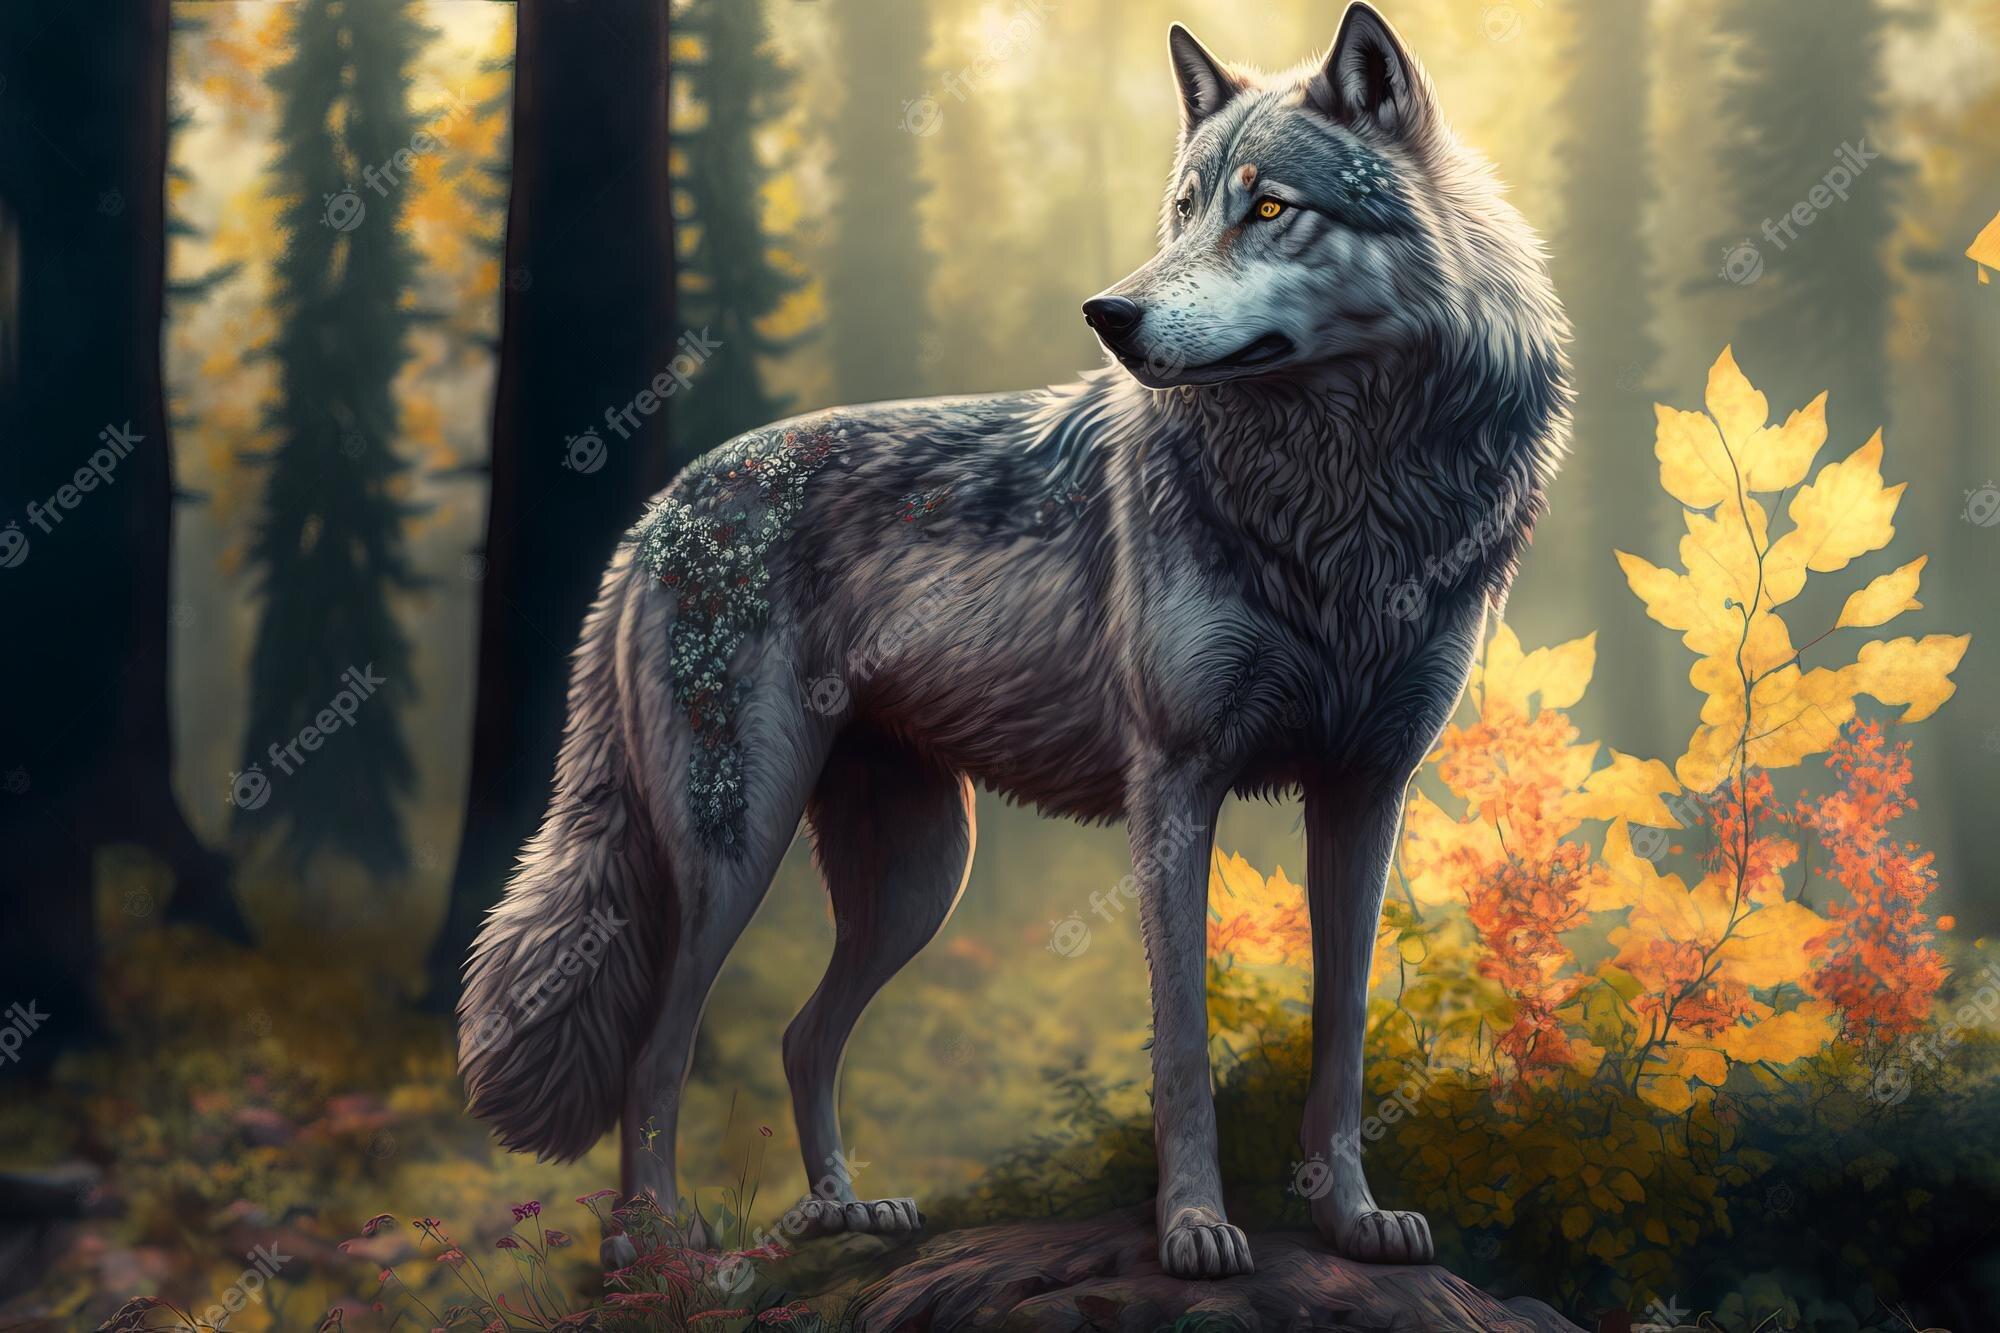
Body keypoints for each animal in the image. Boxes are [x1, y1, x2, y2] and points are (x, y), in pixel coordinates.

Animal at [459, 2, 1566, 1280]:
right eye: (1181, 207)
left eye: (1267, 209)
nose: (1109, 315)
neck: (1343, 496)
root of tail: (659, 509)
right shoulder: (1174, 783)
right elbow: (1179, 1044)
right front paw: (1194, 1229)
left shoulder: (1364, 789)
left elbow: (1339, 1033)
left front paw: (1348, 1219)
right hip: (737, 849)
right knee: (659, 1048)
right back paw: (660, 1250)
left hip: (916, 878)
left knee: (798, 1036)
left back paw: (842, 1214)